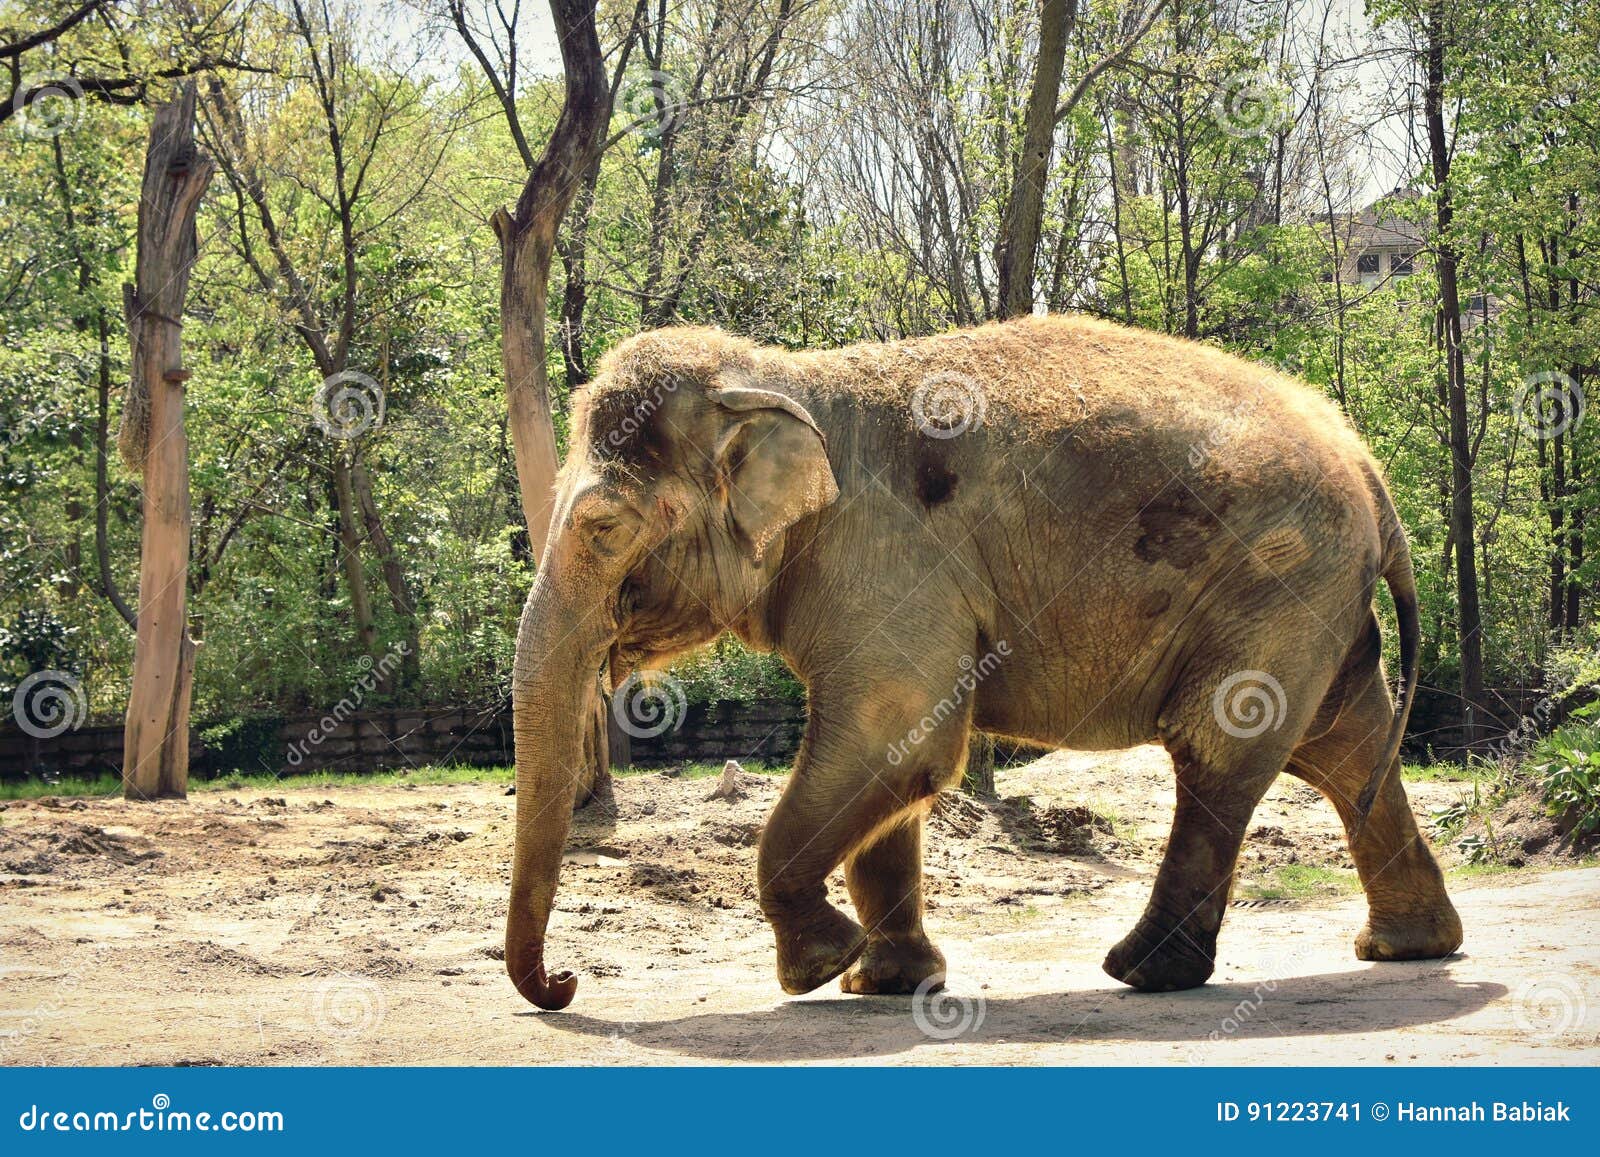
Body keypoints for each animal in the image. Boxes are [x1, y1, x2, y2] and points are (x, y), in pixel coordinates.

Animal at [504, 314, 1463, 1011]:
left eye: (602, 527)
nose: (567, 982)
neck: (782, 374)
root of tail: (1373, 472)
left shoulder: (887, 556)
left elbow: (896, 737)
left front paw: (819, 968)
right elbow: (894, 763)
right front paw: (884, 982)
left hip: (1275, 583)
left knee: (1222, 746)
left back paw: (1142, 972)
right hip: (1313, 600)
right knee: (1343, 749)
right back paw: (1404, 948)